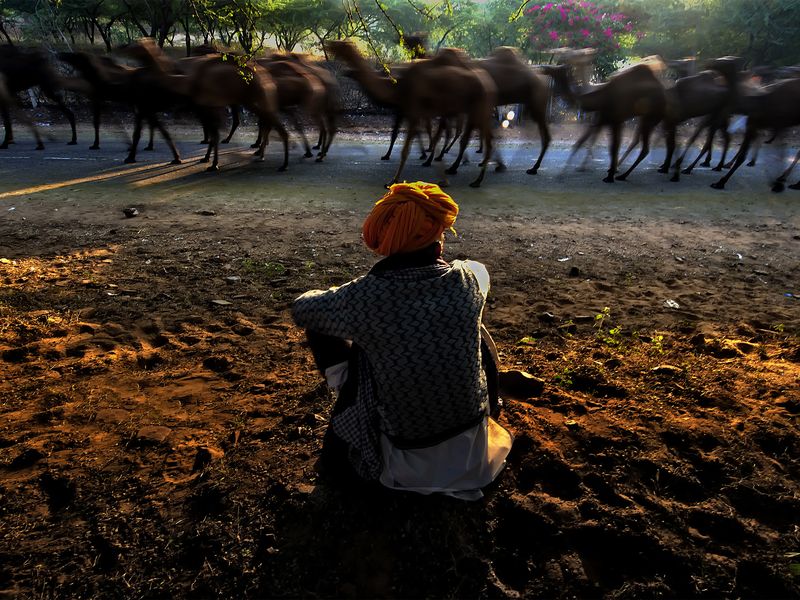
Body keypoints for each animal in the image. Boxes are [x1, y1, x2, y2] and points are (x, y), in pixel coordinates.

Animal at [548, 51, 668, 182]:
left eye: (575, 55)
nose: (560, 60)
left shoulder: (611, 120)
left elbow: (610, 146)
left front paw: (607, 175)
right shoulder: (605, 120)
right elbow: (590, 142)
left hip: (649, 117)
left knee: (645, 147)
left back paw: (624, 174)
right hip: (646, 118)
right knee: (640, 141)